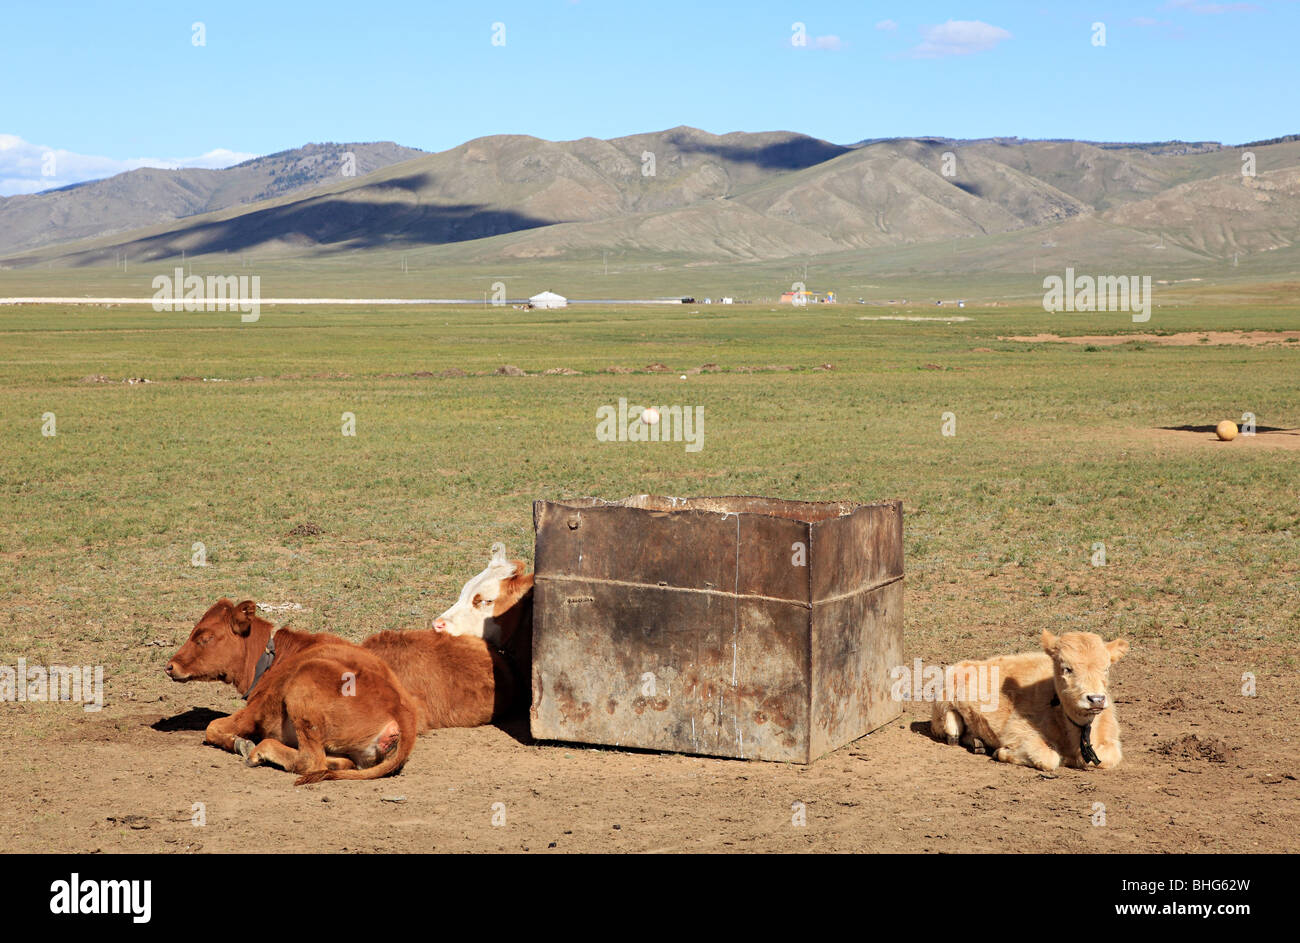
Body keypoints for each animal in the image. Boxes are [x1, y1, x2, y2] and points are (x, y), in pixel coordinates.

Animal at [165, 599, 419, 784]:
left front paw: (241, 743)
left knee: (311, 760)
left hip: (303, 685)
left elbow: (212, 727)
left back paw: (260, 750)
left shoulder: (252, 713)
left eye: (205, 637)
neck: (272, 657)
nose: (170, 666)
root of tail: (403, 714)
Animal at [930, 630, 1129, 771]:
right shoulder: (1017, 730)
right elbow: (1048, 758)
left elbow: (1110, 756)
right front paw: (1001, 752)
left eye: (1106, 668)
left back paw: (978, 743)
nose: (1096, 699)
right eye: (1066, 668)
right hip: (946, 695)